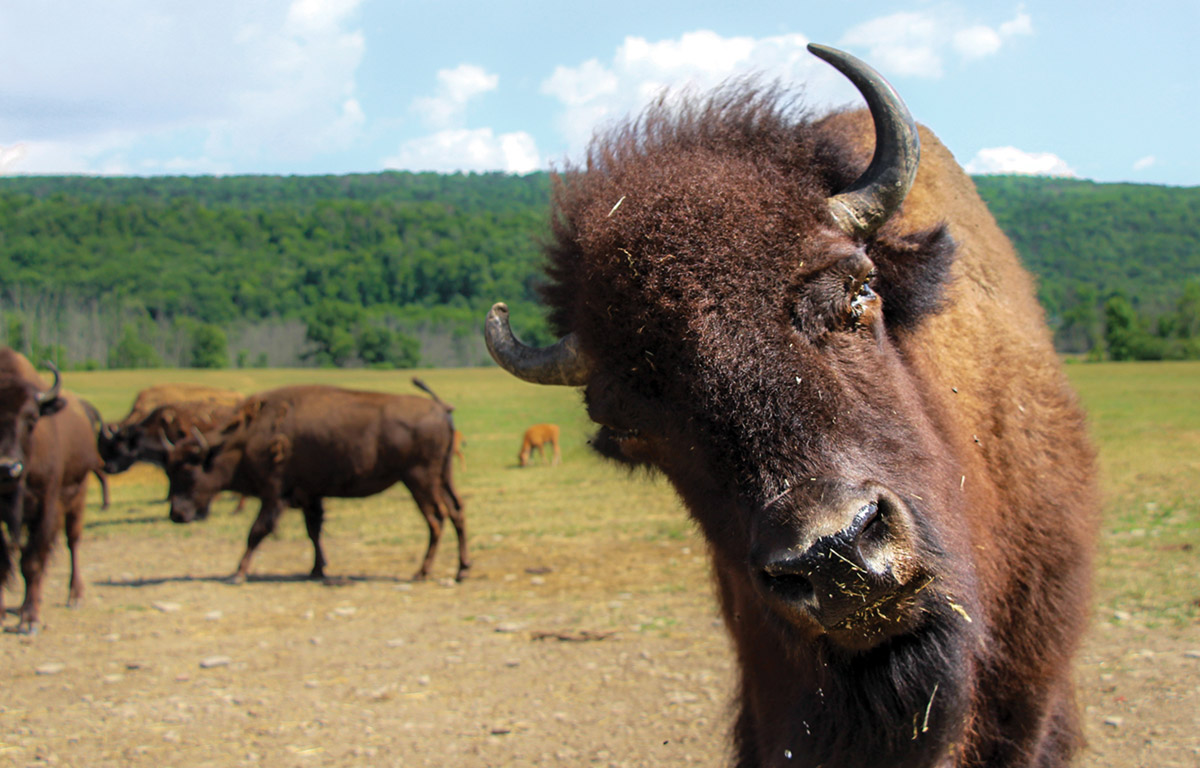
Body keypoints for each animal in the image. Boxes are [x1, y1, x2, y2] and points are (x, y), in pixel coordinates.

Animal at [0, 349, 103, 634]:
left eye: (32, 419)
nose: (8, 467)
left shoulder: (45, 506)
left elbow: (32, 561)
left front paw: (30, 619)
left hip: (77, 497)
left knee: (72, 541)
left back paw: (75, 596)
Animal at [165, 380, 468, 583]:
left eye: (188, 471)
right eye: (169, 469)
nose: (177, 514)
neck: (248, 435)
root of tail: (441, 409)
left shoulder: (275, 494)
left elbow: (257, 531)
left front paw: (238, 573)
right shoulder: (309, 495)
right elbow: (314, 531)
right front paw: (316, 569)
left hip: (419, 480)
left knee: (436, 519)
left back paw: (422, 572)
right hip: (442, 477)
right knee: (456, 511)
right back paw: (461, 570)